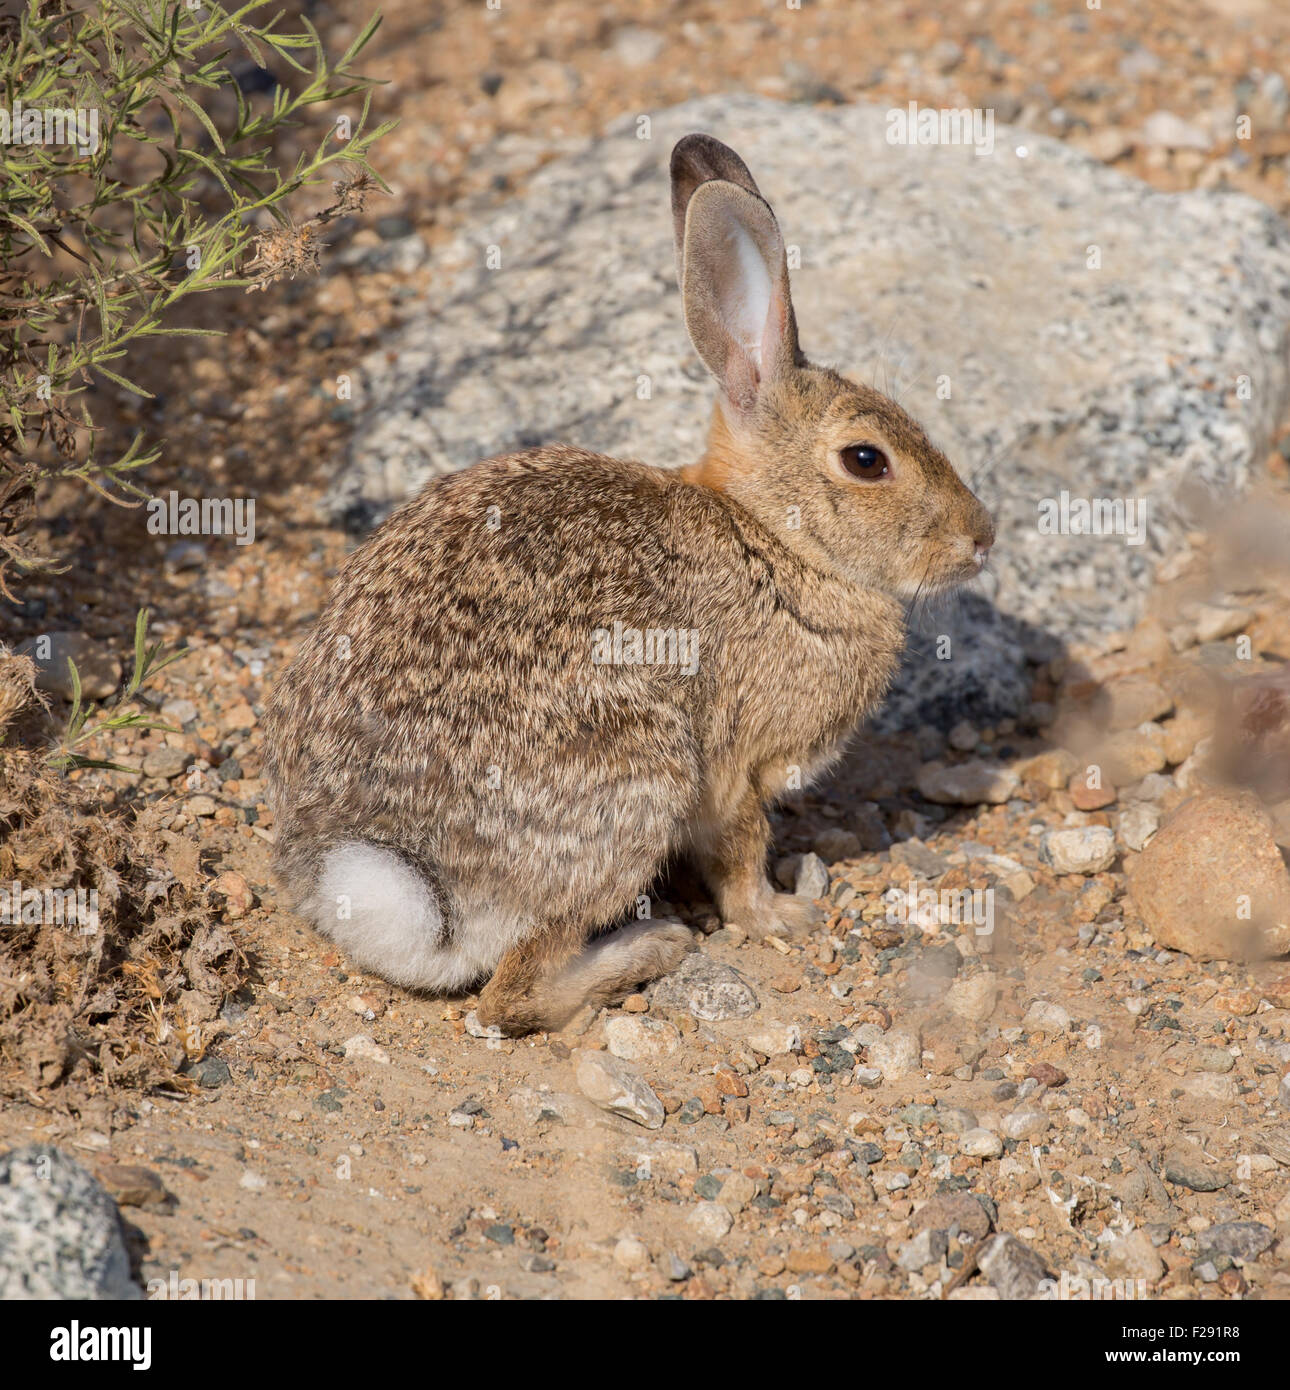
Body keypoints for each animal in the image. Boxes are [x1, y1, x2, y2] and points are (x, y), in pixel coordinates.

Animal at [262, 133, 995, 1036]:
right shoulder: (736, 765)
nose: (981, 538)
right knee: (513, 993)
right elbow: (742, 850)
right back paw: (650, 949)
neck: (773, 540)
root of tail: (394, 877)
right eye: (867, 460)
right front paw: (782, 916)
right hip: (637, 780)